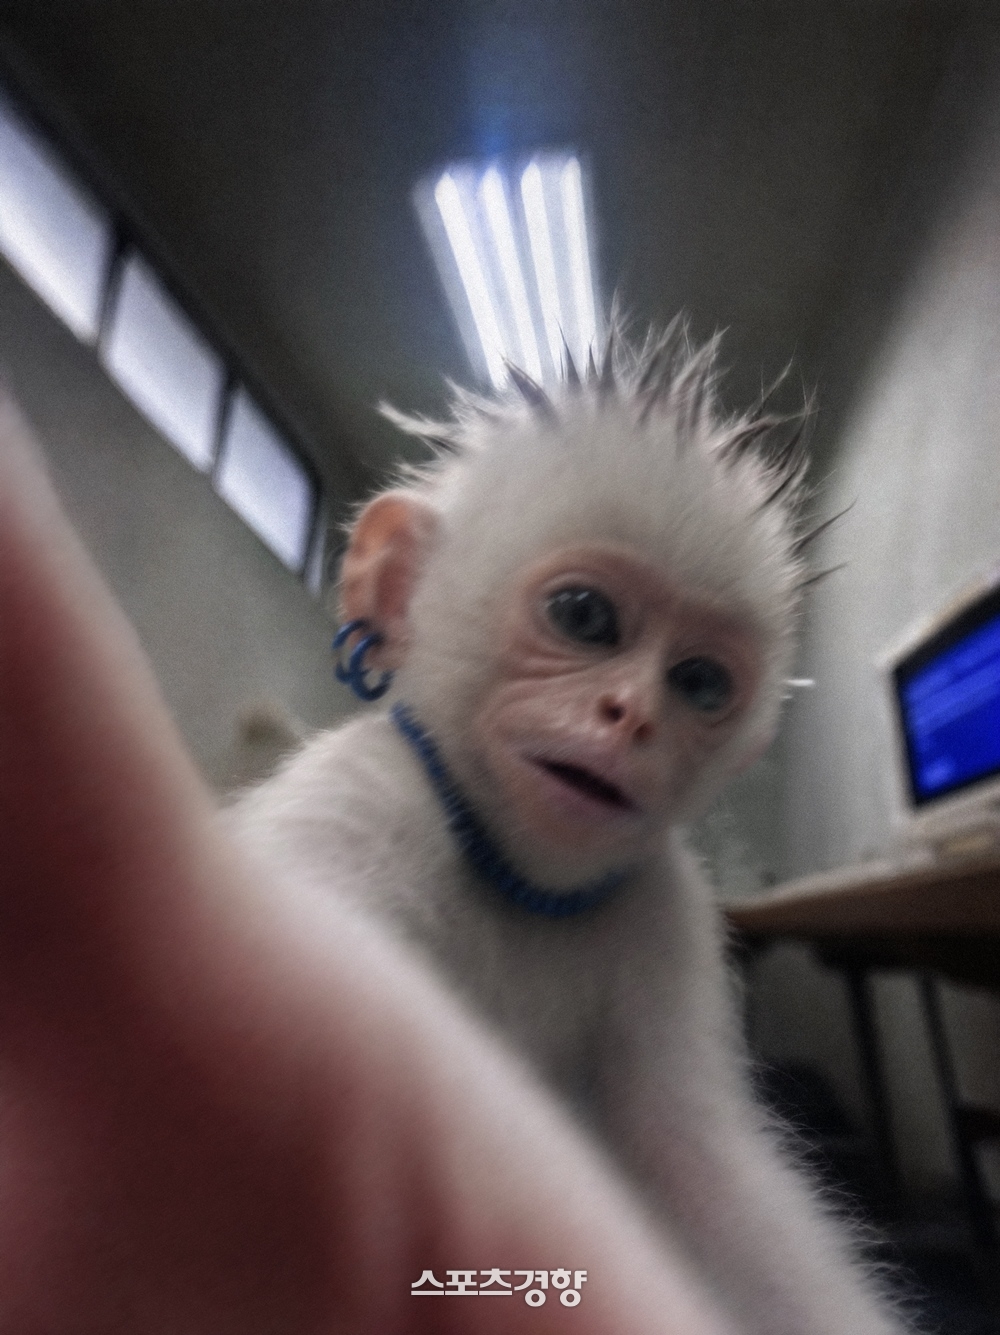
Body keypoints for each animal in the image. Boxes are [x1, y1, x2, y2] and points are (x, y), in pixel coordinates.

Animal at [225, 323, 909, 1335]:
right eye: (586, 617)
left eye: (699, 681)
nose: (634, 717)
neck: (519, 879)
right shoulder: (362, 803)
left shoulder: (670, 910)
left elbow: (696, 1158)